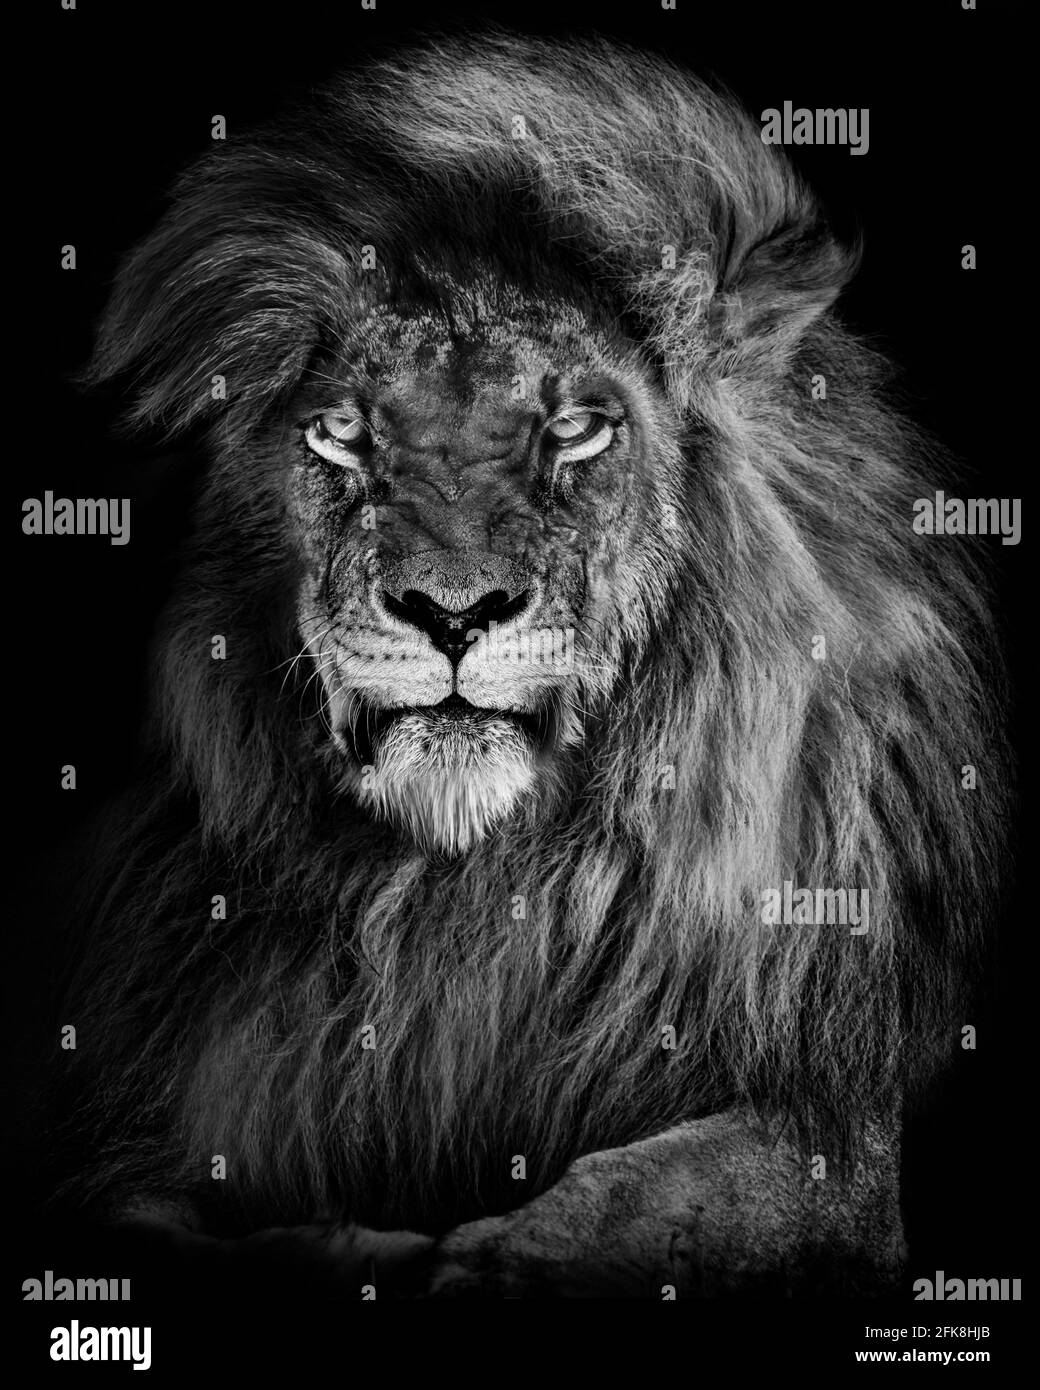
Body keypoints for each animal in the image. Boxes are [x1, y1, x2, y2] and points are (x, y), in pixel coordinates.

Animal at [47, 31, 1007, 1297]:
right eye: (340, 432)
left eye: (577, 428)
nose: (452, 612)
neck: (471, 891)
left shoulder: (830, 1117)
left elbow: (671, 1194)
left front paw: (490, 1259)